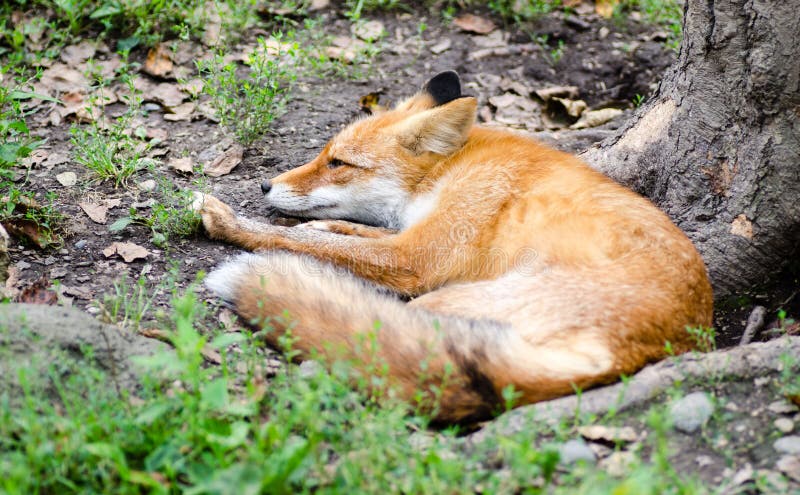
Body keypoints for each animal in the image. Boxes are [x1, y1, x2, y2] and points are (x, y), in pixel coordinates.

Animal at [194, 71, 713, 423]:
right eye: (323, 154)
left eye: (338, 163)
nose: (264, 185)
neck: (450, 168)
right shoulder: (416, 237)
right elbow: (339, 234)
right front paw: (327, 226)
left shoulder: (418, 258)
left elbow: (299, 238)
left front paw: (229, 220)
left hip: (442, 301)